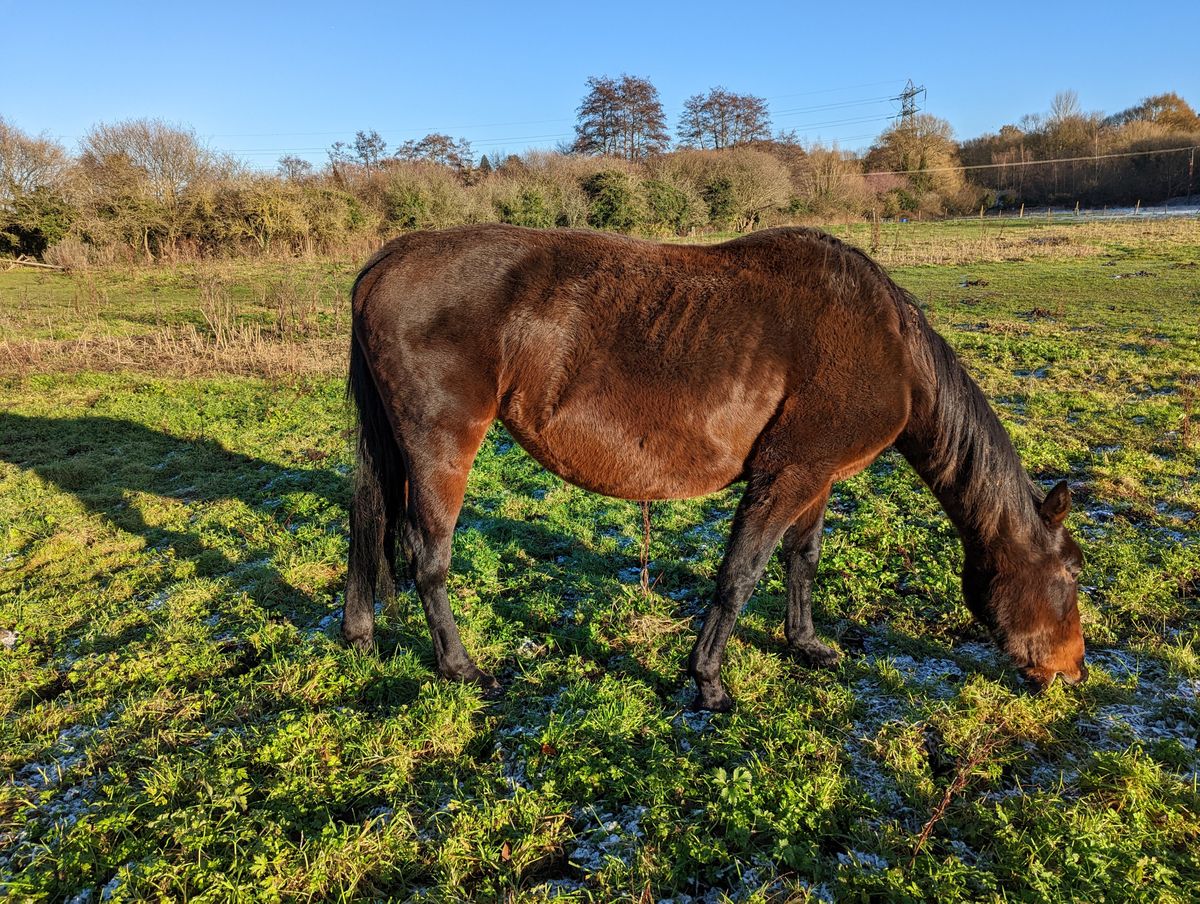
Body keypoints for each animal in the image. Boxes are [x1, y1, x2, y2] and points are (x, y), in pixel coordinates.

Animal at [343, 224, 1087, 711]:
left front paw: (805, 645)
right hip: (441, 447)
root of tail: (385, 261)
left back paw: (360, 635)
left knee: (367, 532)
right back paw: (461, 668)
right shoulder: (785, 476)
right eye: (1072, 574)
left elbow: (801, 561)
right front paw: (707, 682)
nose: (1074, 668)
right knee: (427, 559)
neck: (888, 348)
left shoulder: (815, 477)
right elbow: (740, 575)